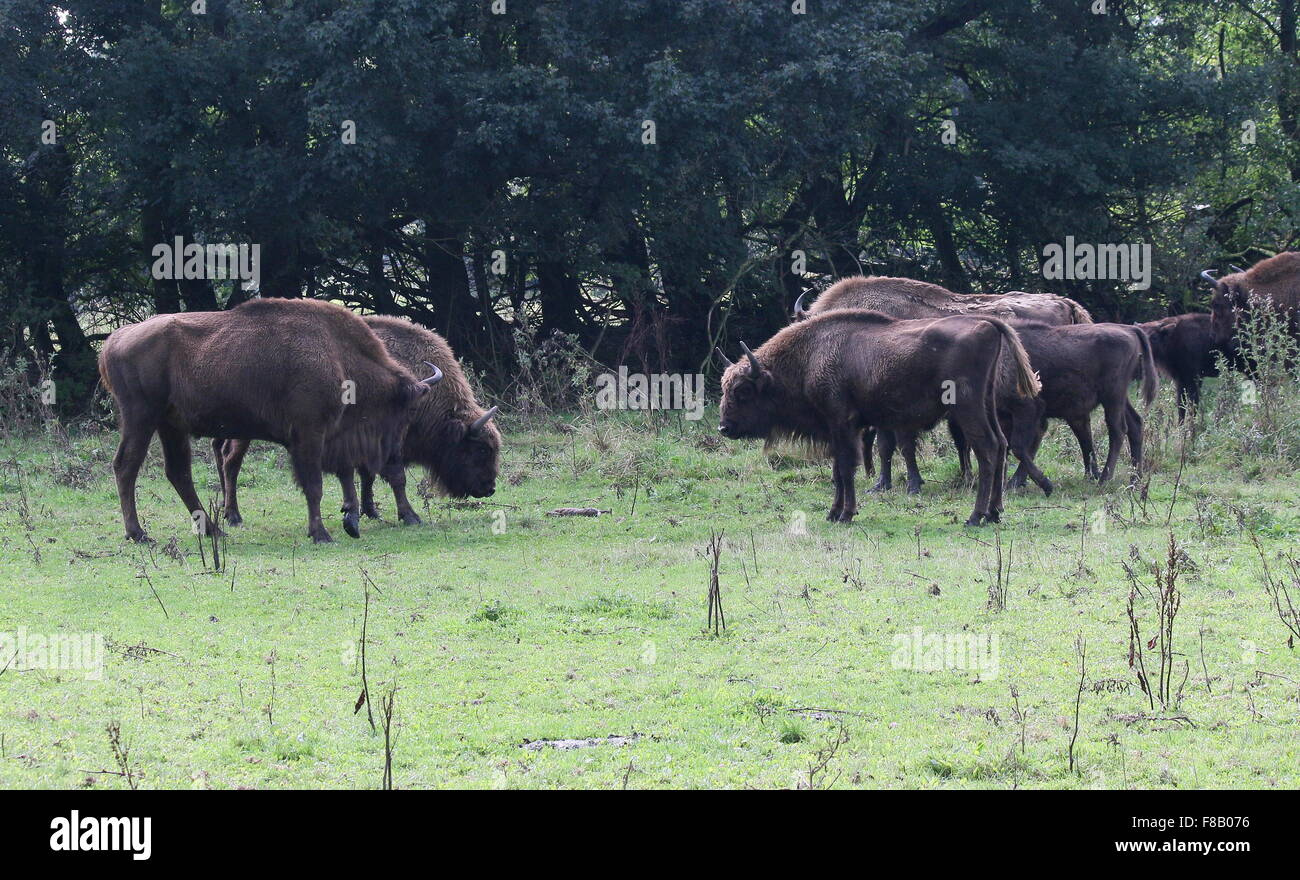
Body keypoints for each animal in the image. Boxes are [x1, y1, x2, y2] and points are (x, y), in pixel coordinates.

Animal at [98, 298, 437, 544]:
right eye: (405, 411)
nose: (393, 454)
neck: (338, 356)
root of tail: (114, 340)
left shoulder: (330, 438)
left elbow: (341, 475)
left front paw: (349, 521)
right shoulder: (309, 435)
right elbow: (314, 485)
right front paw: (321, 534)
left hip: (172, 426)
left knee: (179, 473)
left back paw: (213, 530)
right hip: (141, 417)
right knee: (126, 466)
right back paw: (139, 534)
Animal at [217, 316, 501, 530]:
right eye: (480, 449)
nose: (489, 488)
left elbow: (366, 475)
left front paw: (369, 511)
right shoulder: (389, 444)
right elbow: (395, 477)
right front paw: (409, 516)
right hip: (244, 431)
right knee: (231, 462)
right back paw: (234, 517)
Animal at [718, 310, 1040, 526]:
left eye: (743, 390)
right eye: (724, 387)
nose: (724, 427)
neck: (812, 354)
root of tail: (987, 324)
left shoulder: (842, 424)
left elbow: (846, 468)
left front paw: (845, 514)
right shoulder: (838, 429)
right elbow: (838, 471)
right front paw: (834, 512)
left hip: (966, 408)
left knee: (987, 449)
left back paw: (975, 516)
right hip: (987, 404)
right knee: (1000, 445)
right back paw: (994, 512)